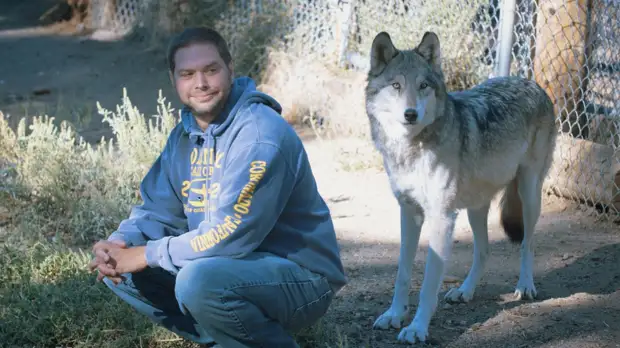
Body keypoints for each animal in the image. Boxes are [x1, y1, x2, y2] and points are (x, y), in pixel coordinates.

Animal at [364, 31, 556, 344]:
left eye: (423, 86)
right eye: (396, 86)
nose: (410, 114)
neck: (411, 151)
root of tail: (530, 81)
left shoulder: (441, 218)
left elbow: (429, 284)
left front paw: (416, 328)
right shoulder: (408, 213)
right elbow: (402, 273)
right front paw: (394, 315)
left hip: (529, 194)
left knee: (527, 243)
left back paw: (525, 286)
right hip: (476, 208)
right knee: (484, 250)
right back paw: (465, 291)